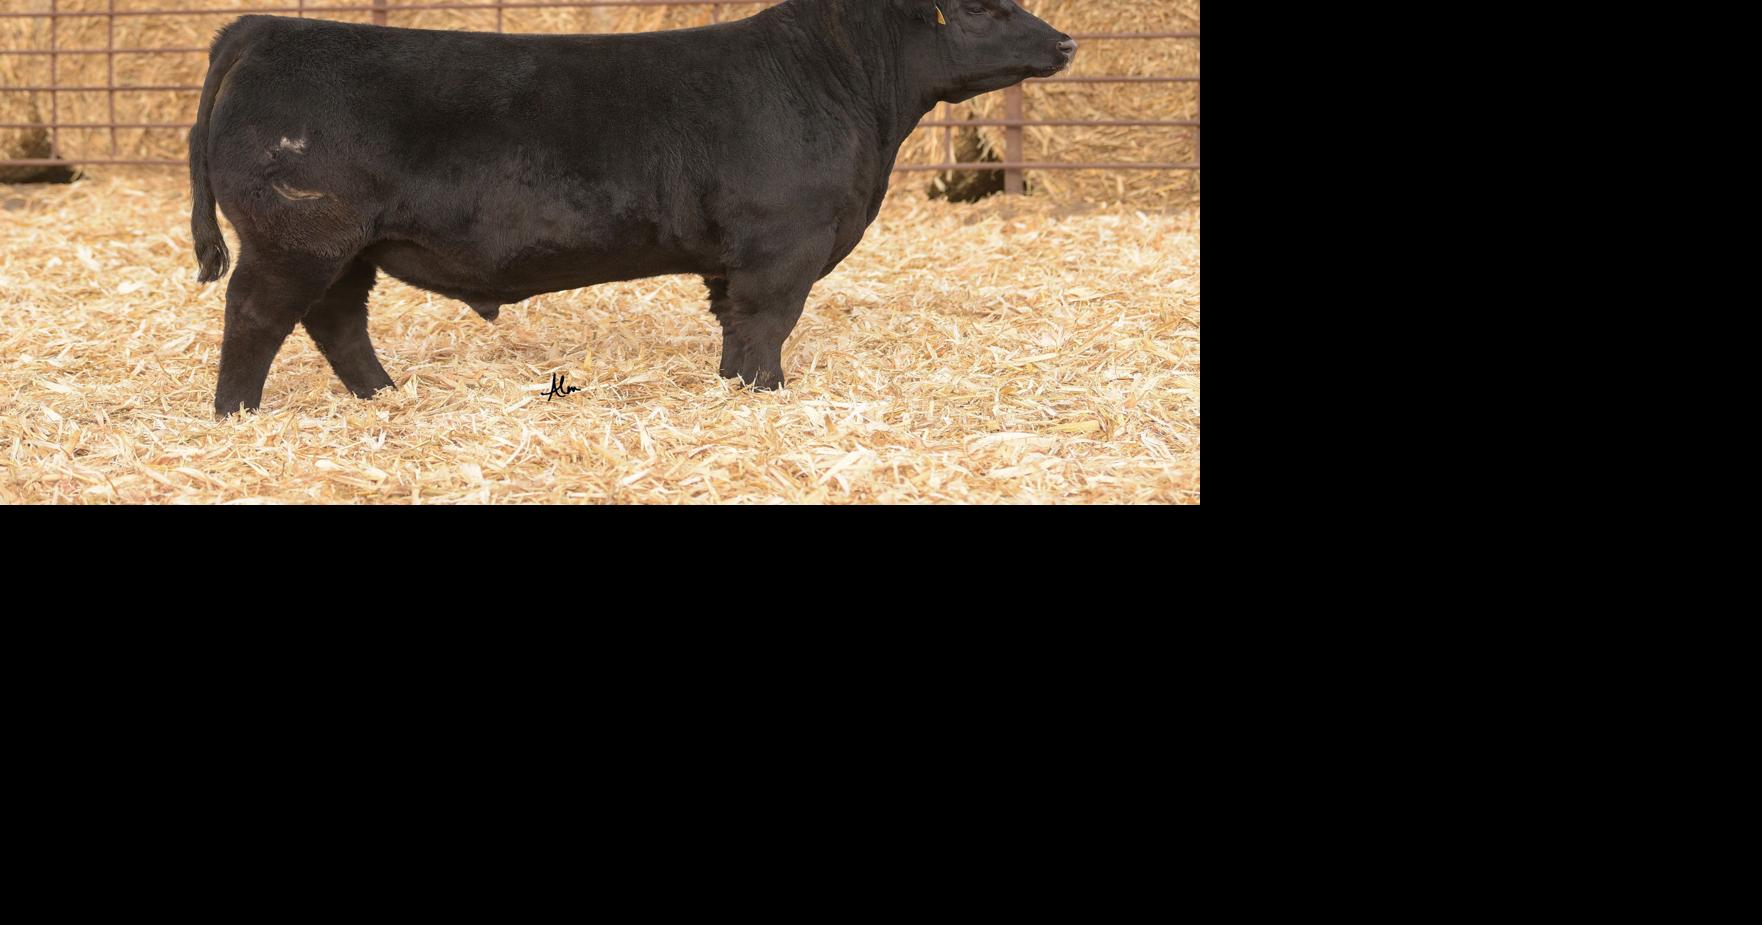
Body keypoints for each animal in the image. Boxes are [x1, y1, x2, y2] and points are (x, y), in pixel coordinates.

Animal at [188, 0, 1075, 416]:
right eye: (976, 9)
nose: (1066, 41)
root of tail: (263, 30)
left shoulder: (735, 259)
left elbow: (735, 327)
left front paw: (736, 388)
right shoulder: (782, 246)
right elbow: (767, 324)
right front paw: (766, 394)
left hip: (344, 246)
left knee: (337, 321)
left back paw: (385, 394)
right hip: (297, 236)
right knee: (256, 314)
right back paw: (237, 412)